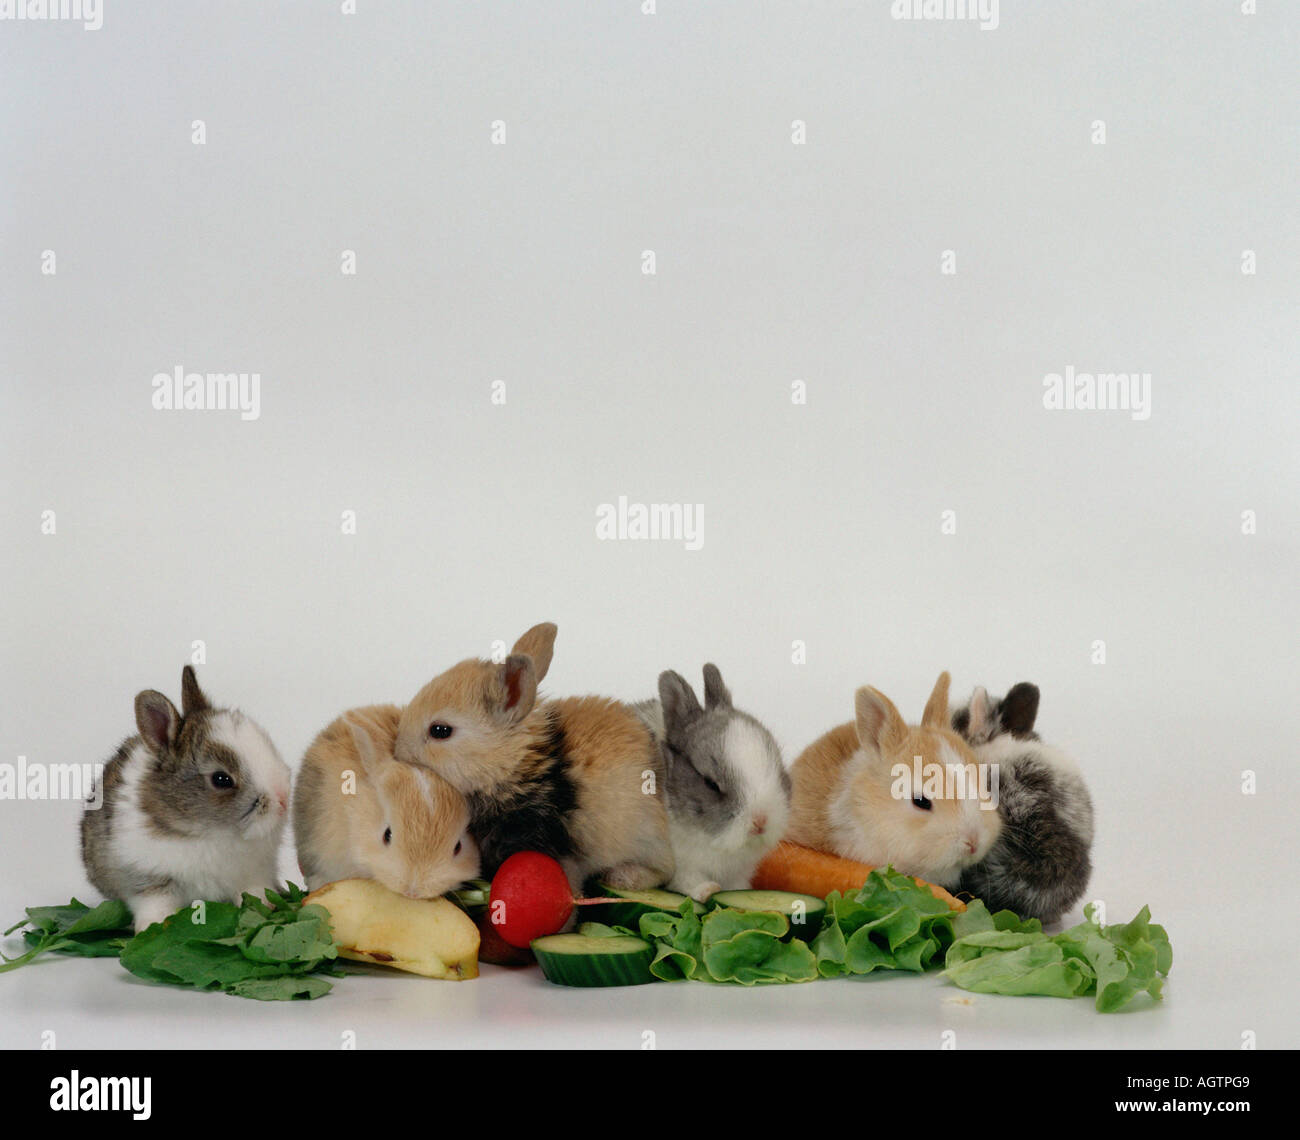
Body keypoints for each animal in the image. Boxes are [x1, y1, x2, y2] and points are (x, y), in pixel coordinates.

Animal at [80, 666, 291, 932]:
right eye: (221, 779)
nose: (283, 799)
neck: (207, 832)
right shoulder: (147, 877)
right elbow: (154, 902)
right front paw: (152, 926)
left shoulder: (255, 872)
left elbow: (254, 892)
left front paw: (268, 906)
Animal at [634, 664, 790, 902]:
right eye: (711, 784)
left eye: (779, 769)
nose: (761, 822)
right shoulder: (681, 867)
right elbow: (689, 882)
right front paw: (709, 890)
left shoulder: (739, 871)